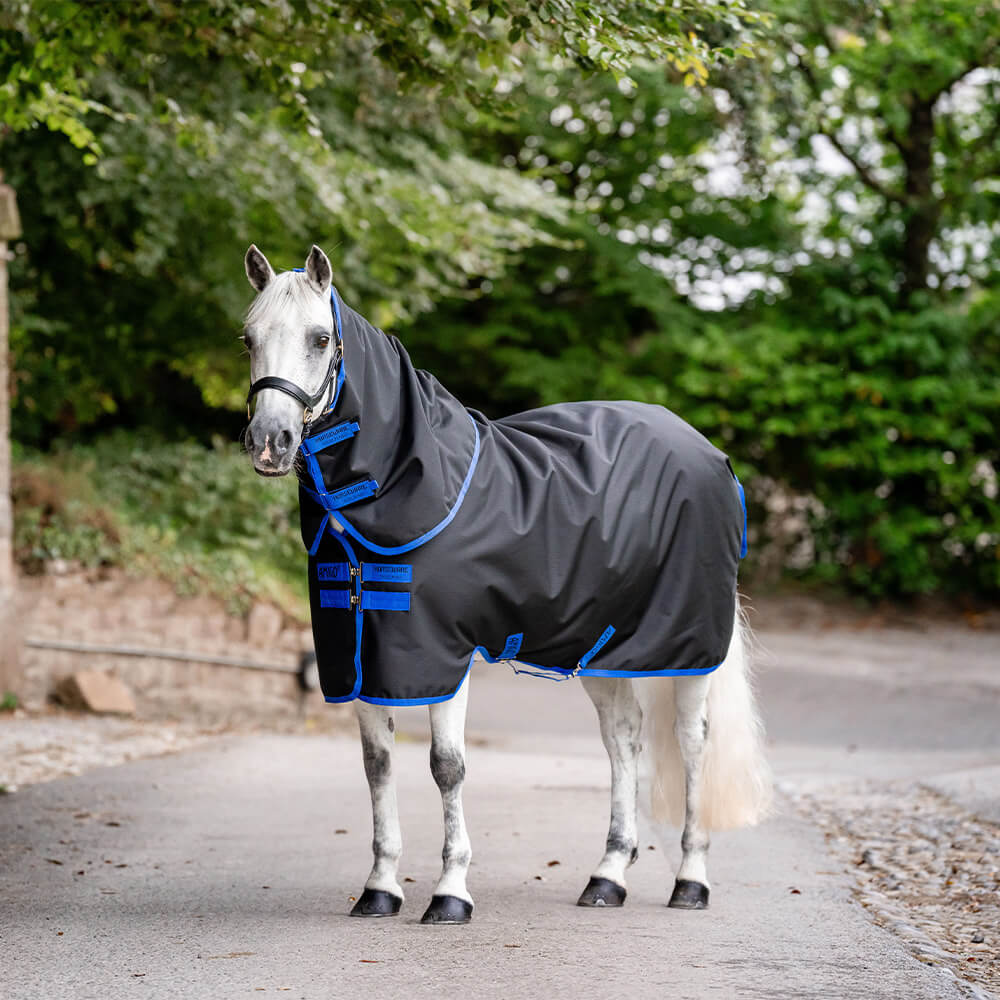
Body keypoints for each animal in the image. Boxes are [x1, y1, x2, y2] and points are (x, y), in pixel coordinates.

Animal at [240, 243, 772, 925]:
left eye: (320, 337)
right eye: (248, 337)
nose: (269, 442)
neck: (405, 485)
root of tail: (712, 455)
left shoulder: (441, 654)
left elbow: (447, 767)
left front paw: (450, 893)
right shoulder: (360, 655)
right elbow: (377, 766)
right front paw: (380, 888)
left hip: (690, 647)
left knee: (693, 743)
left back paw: (691, 880)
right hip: (600, 646)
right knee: (622, 739)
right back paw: (607, 877)